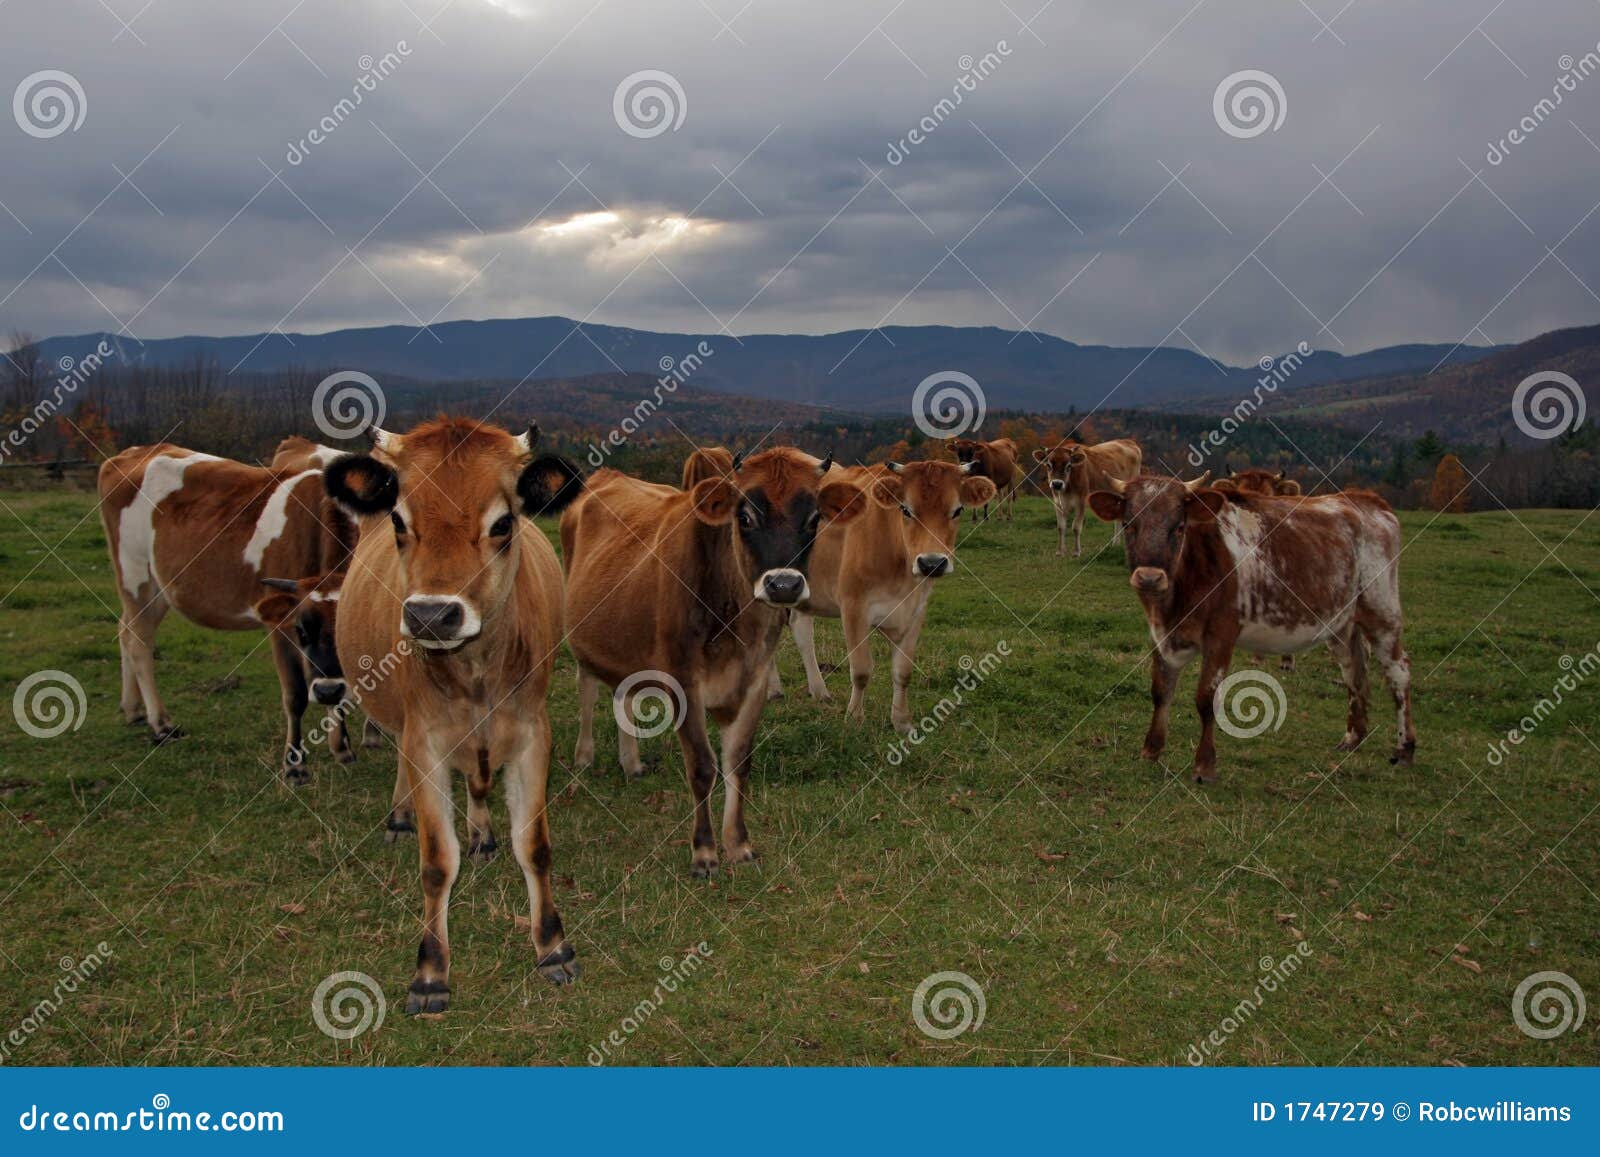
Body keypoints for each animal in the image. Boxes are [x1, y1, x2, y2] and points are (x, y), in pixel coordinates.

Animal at [96, 439, 355, 782]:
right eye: (301, 629)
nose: (326, 691)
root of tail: (133, 452)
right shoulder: (279, 623)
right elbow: (296, 695)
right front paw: (294, 764)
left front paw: (341, 746)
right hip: (135, 576)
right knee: (138, 641)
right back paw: (161, 723)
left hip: (161, 587)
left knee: (124, 630)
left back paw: (133, 708)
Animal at [326, 417, 583, 1011]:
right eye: (399, 519)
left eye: (503, 523)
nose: (431, 614)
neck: (475, 669)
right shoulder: (425, 742)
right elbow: (438, 861)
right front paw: (430, 971)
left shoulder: (533, 733)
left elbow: (534, 847)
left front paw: (553, 946)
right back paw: (401, 816)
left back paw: (483, 832)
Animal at [563, 447, 868, 876]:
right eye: (745, 517)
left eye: (814, 519)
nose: (784, 585)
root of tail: (609, 476)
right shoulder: (683, 681)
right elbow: (703, 766)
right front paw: (704, 852)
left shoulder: (755, 679)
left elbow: (738, 762)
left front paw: (738, 845)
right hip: (582, 640)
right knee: (588, 692)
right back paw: (584, 756)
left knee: (623, 692)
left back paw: (631, 763)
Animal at [784, 459, 995, 732]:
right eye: (905, 510)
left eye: (957, 510)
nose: (932, 563)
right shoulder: (853, 607)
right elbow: (861, 670)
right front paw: (854, 718)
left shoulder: (916, 610)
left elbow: (903, 671)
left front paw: (902, 722)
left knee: (801, 631)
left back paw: (818, 691)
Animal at [1088, 471, 1415, 783]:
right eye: (1128, 524)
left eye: (1179, 527)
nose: (1149, 577)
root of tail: (1367, 499)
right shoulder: (1162, 634)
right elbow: (1161, 690)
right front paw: (1151, 750)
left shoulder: (1221, 633)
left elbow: (1206, 699)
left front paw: (1205, 765)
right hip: (1341, 623)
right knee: (1354, 672)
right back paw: (1352, 737)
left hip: (1382, 612)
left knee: (1398, 674)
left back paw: (1405, 748)